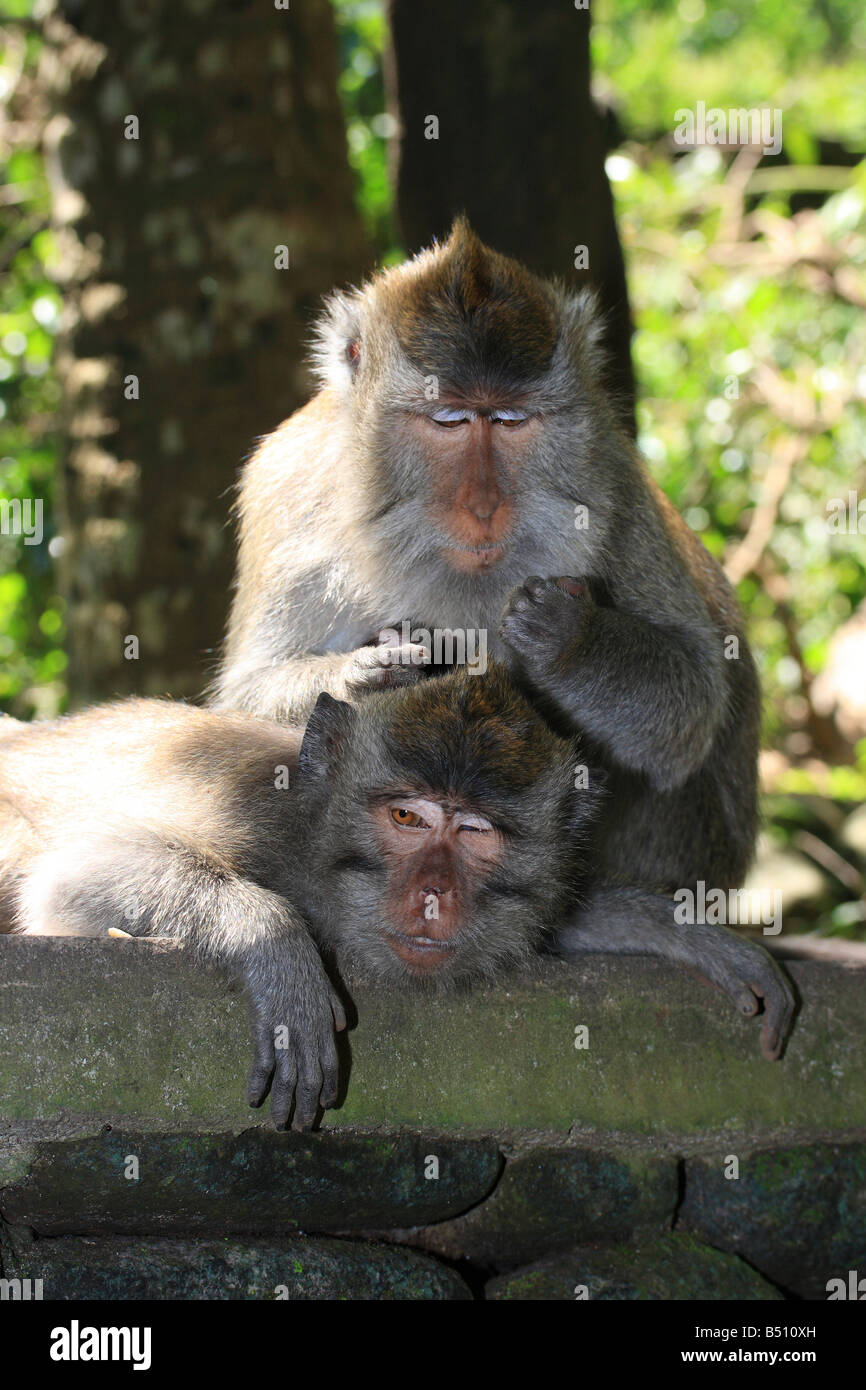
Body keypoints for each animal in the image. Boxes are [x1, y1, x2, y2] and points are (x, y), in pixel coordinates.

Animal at [0, 664, 599, 1130]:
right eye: (407, 816)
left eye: (475, 831)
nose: (433, 894)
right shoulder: (252, 806)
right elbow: (72, 879)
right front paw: (275, 946)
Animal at [208, 218, 795, 1060]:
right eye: (450, 420)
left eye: (512, 421)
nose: (484, 508)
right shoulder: (288, 483)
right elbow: (248, 692)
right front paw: (372, 672)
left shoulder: (606, 478)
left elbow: (690, 702)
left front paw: (567, 638)